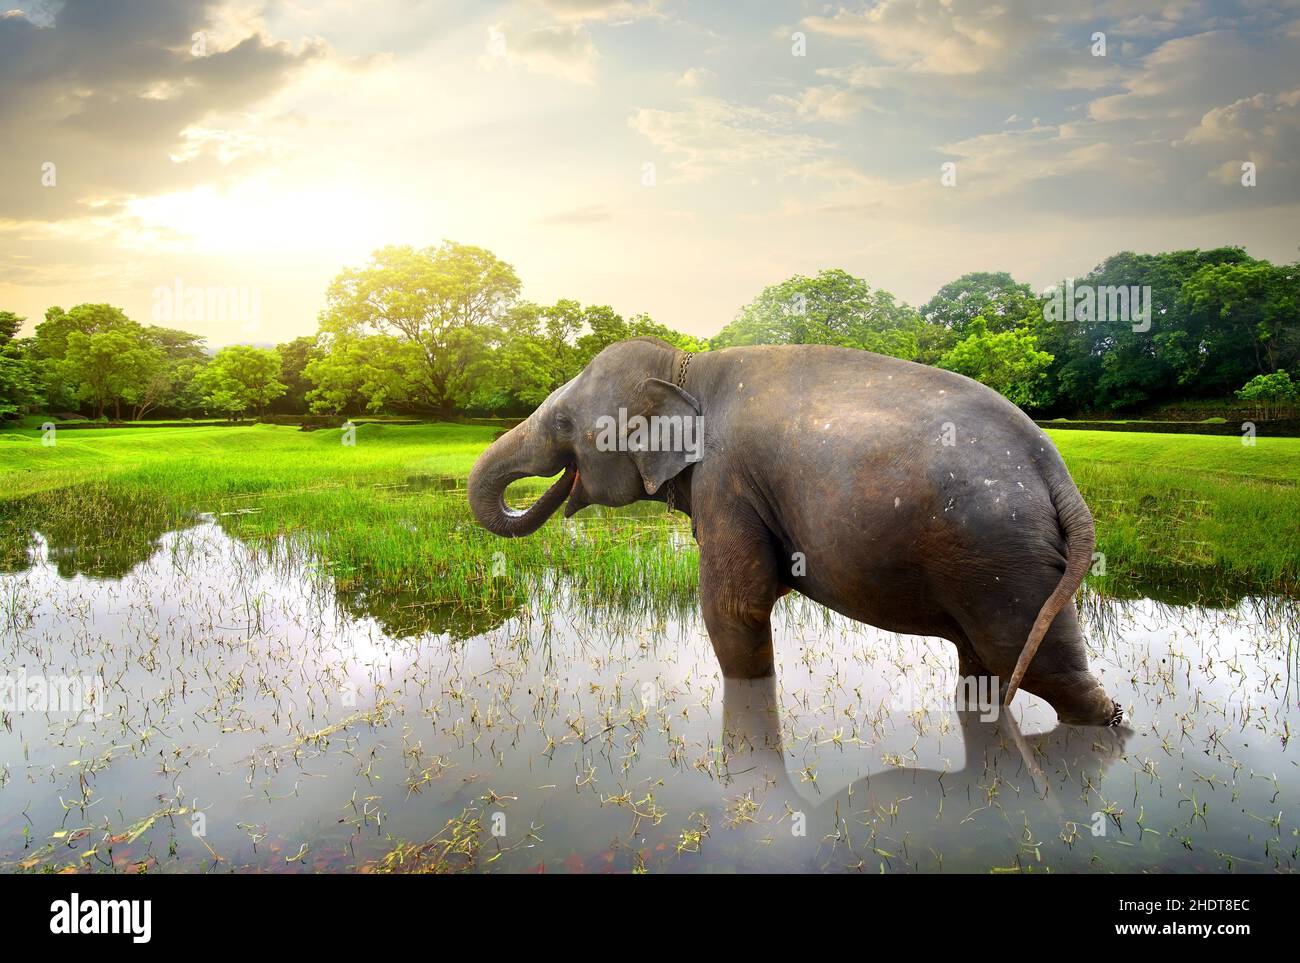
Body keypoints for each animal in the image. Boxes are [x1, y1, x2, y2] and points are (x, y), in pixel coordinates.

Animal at [467, 337, 1123, 727]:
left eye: (562, 422)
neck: (686, 366)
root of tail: (1052, 466)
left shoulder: (726, 479)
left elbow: (735, 606)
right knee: (983, 663)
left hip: (1002, 556)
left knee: (1047, 670)